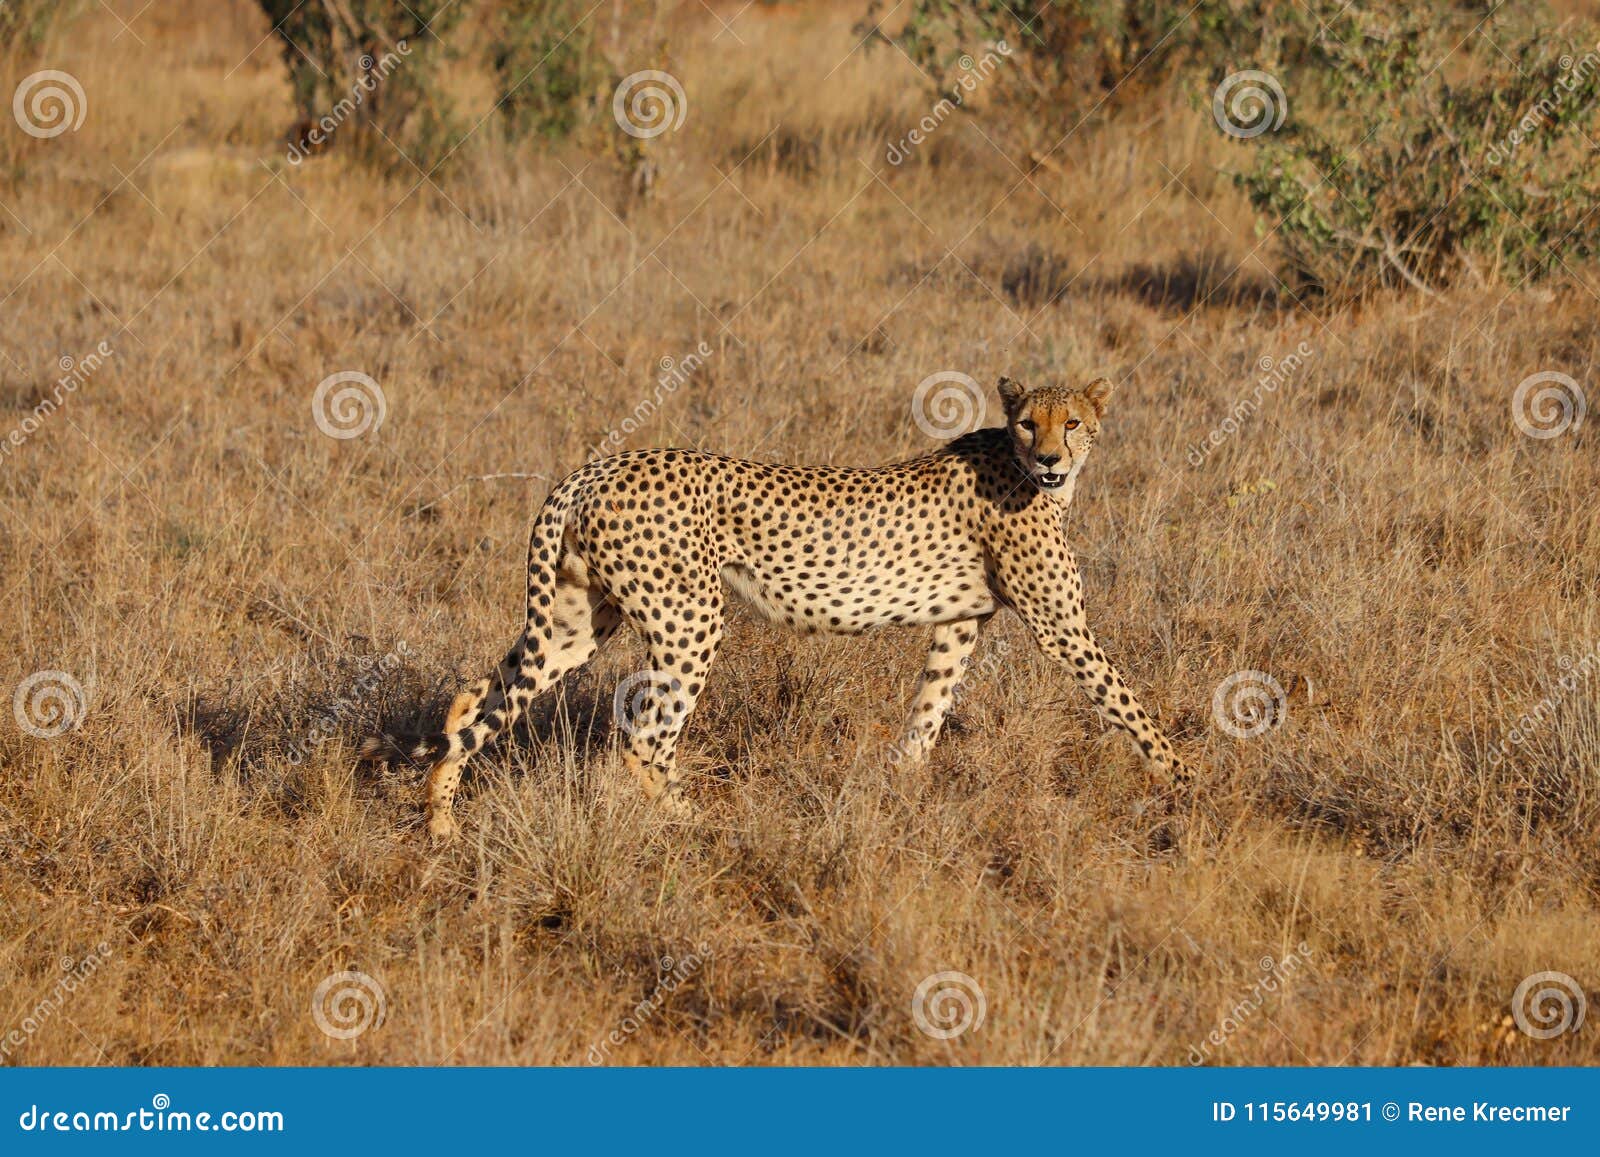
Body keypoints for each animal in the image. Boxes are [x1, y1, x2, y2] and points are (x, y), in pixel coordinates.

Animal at [362, 375, 1194, 839]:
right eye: (1030, 422)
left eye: (1072, 421)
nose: (1050, 457)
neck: (1030, 478)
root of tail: (597, 465)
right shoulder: (1062, 626)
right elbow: (1125, 699)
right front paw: (1188, 779)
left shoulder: (959, 624)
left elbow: (929, 707)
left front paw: (900, 786)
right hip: (690, 618)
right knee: (643, 742)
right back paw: (699, 826)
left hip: (578, 618)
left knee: (476, 698)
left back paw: (440, 823)